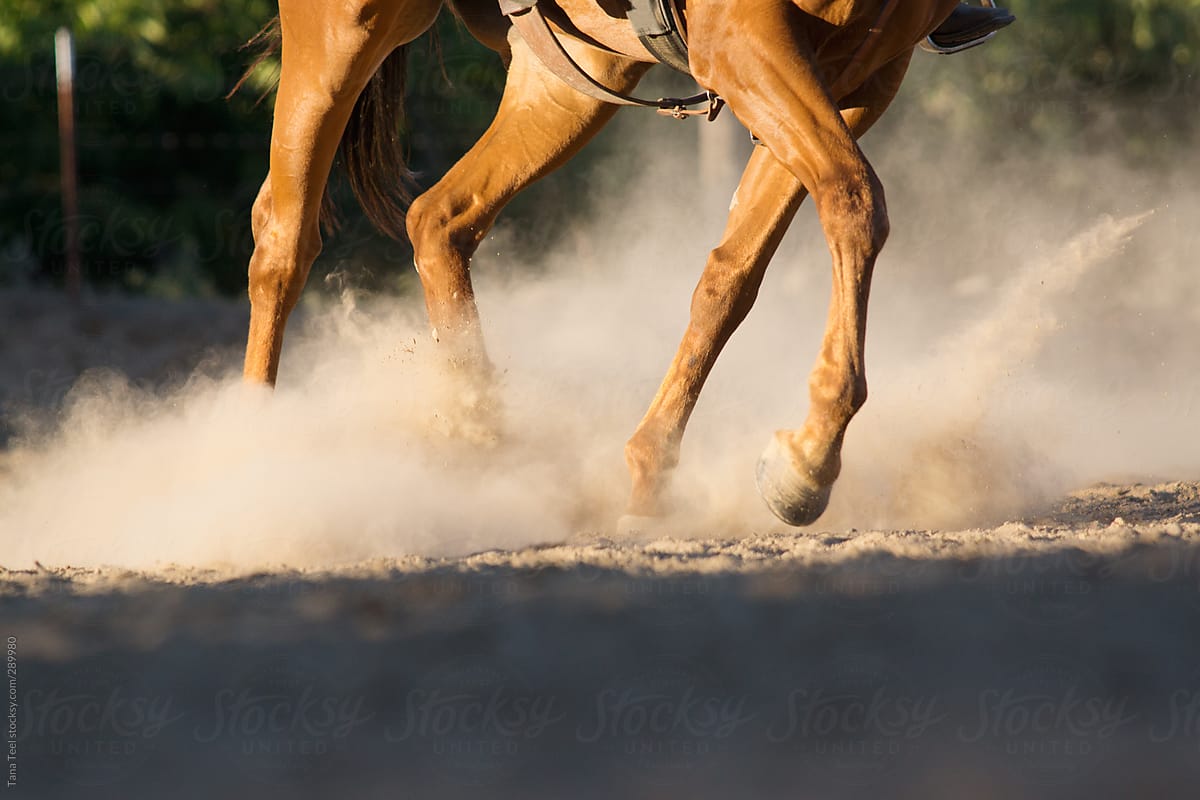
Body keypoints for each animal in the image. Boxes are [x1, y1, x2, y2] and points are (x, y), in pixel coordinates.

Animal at [239, 0, 964, 526]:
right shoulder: (746, 42)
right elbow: (852, 200)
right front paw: (809, 463)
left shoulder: (859, 76)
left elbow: (733, 274)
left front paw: (654, 469)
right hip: (344, 30)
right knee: (284, 241)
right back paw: (247, 457)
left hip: (574, 72)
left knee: (439, 220)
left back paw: (492, 459)